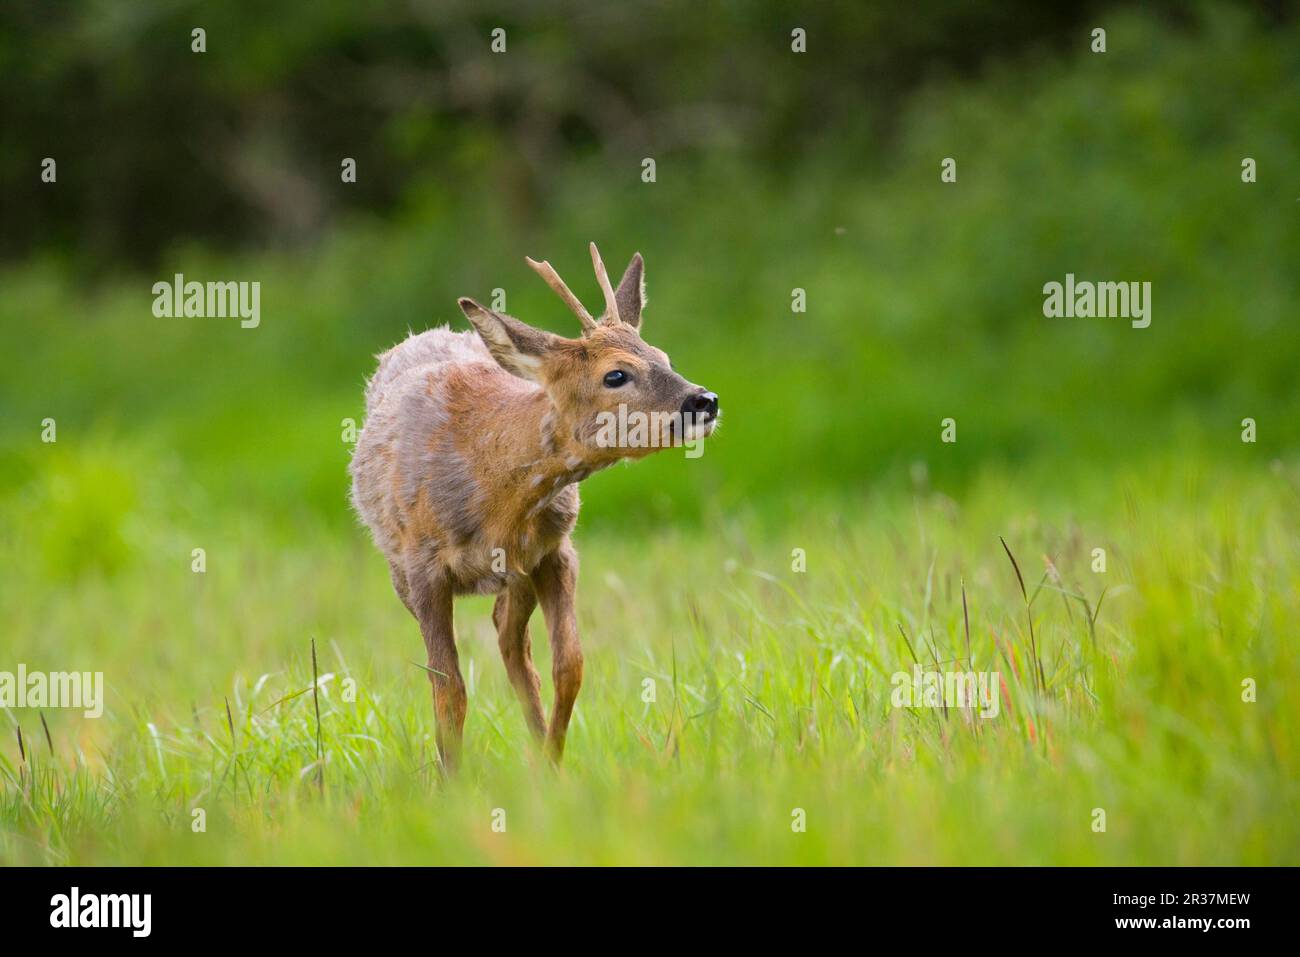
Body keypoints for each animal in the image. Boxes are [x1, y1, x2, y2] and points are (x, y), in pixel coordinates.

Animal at [349, 244, 720, 769]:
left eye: (664, 356)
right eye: (616, 374)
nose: (704, 401)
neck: (495, 493)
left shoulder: (555, 552)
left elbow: (570, 665)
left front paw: (552, 764)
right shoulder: (423, 568)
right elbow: (449, 688)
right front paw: (450, 778)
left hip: (516, 575)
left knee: (512, 645)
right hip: (403, 570)